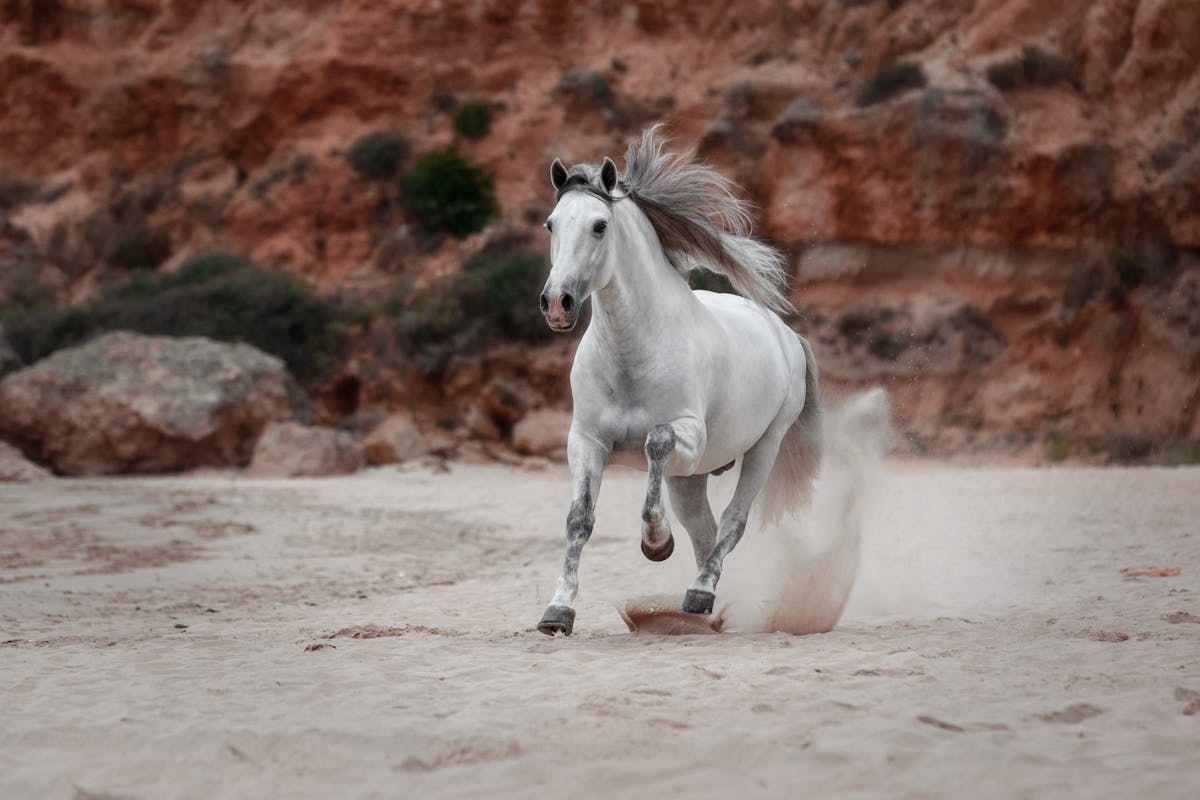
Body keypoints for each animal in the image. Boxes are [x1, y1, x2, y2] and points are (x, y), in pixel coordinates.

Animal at [536, 126, 822, 636]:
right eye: (551, 225)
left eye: (599, 225)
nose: (556, 303)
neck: (633, 353)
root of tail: (785, 334)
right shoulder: (586, 441)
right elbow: (579, 520)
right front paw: (558, 611)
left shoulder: (686, 434)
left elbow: (655, 442)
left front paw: (655, 543)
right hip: (690, 479)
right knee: (705, 531)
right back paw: (701, 605)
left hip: (762, 448)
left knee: (731, 522)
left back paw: (700, 593)